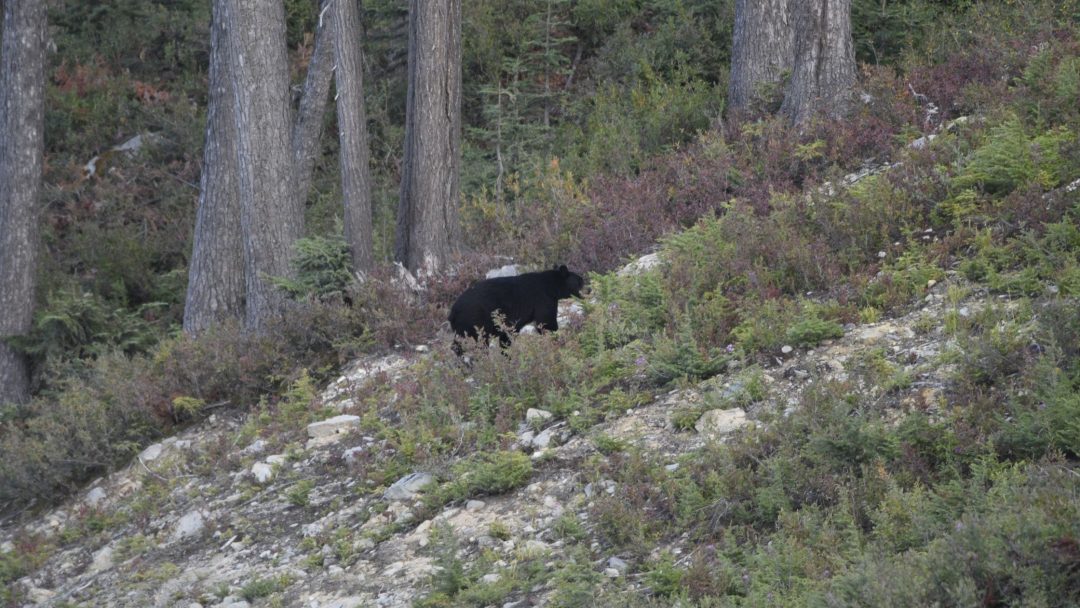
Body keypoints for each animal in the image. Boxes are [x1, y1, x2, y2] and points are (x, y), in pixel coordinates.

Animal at [448, 265, 585, 350]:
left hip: (461, 326)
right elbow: (546, 322)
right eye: (580, 281)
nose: (588, 289)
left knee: (458, 343)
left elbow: (507, 337)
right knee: (477, 341)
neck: (551, 286)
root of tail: (453, 312)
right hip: (474, 321)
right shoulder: (542, 299)